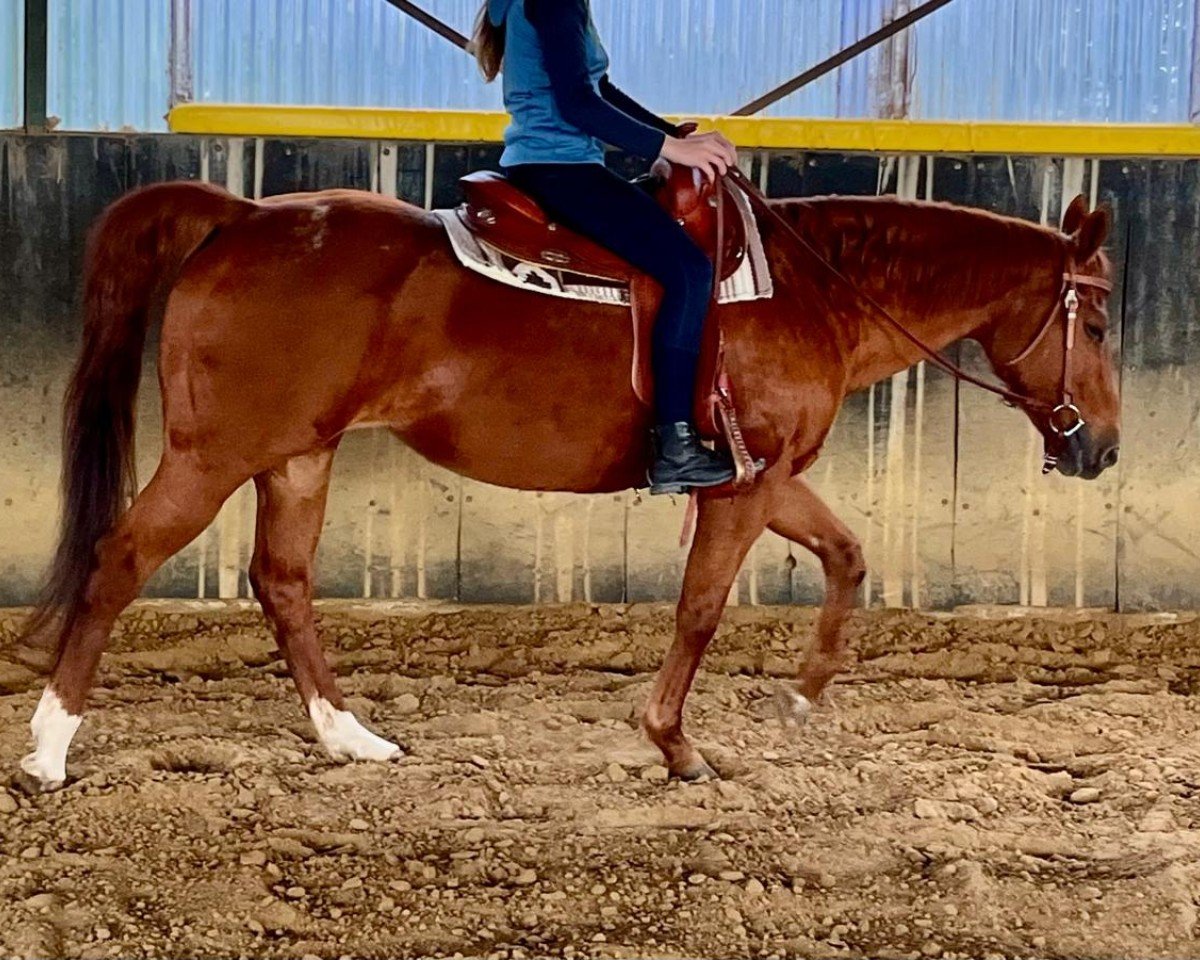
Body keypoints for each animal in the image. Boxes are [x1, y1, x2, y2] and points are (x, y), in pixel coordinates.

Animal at [16, 176, 1118, 790]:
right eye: (1100, 323)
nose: (1102, 448)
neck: (810, 291)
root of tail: (241, 214)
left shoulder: (765, 477)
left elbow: (847, 557)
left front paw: (801, 698)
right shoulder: (741, 489)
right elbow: (701, 609)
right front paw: (676, 747)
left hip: (297, 458)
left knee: (281, 582)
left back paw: (350, 739)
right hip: (213, 455)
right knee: (120, 560)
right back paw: (48, 752)